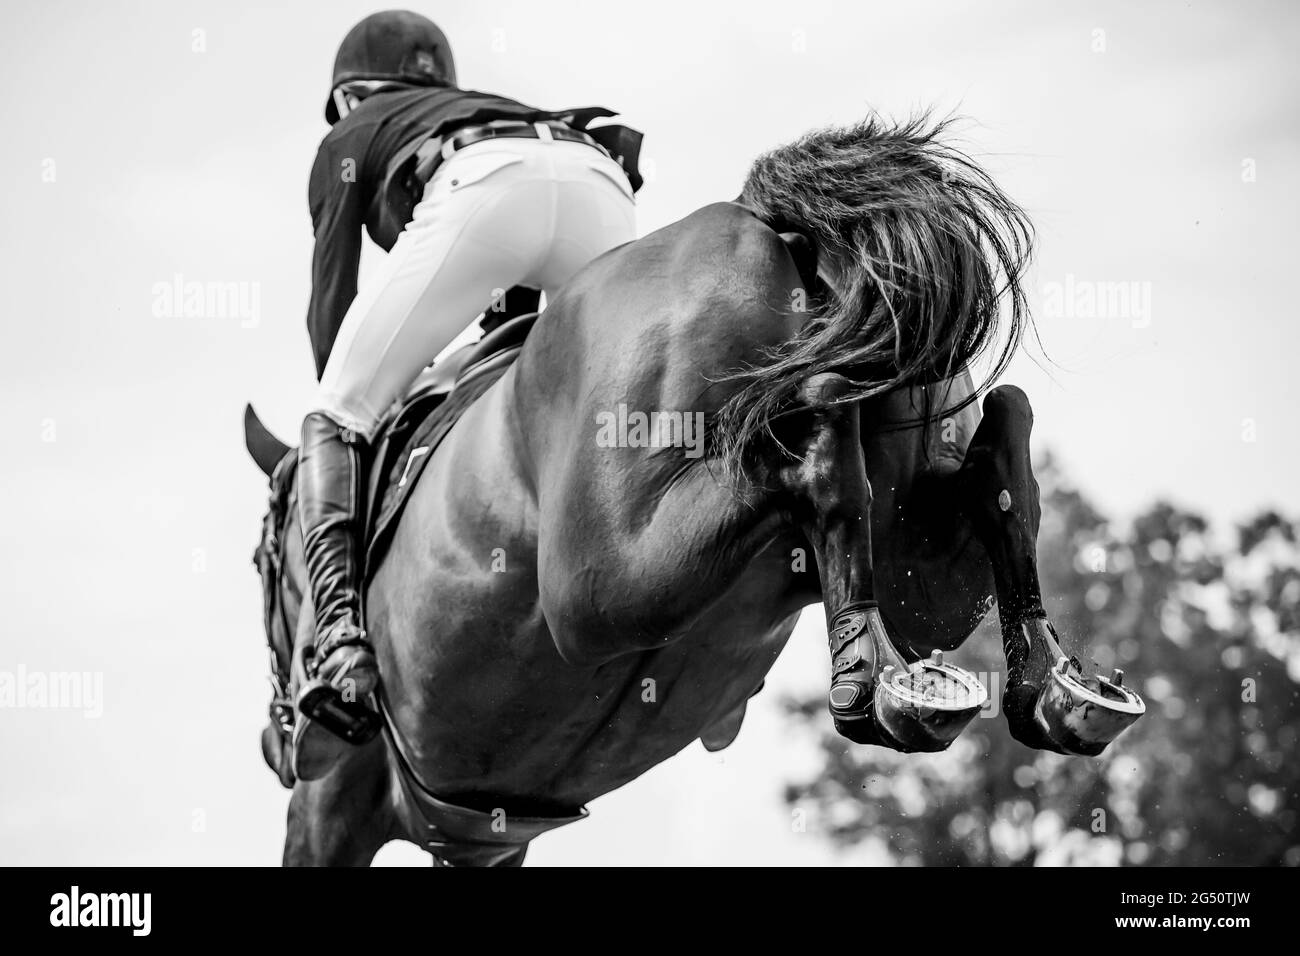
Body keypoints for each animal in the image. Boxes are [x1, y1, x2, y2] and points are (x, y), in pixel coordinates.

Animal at [245, 114, 1144, 866]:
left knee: (804, 443)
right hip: (919, 558)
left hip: (596, 588)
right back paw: (1036, 685)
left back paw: (874, 676)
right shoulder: (486, 836)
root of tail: (773, 225)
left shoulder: (334, 801)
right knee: (990, 456)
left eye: (260, 568)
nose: (276, 743)